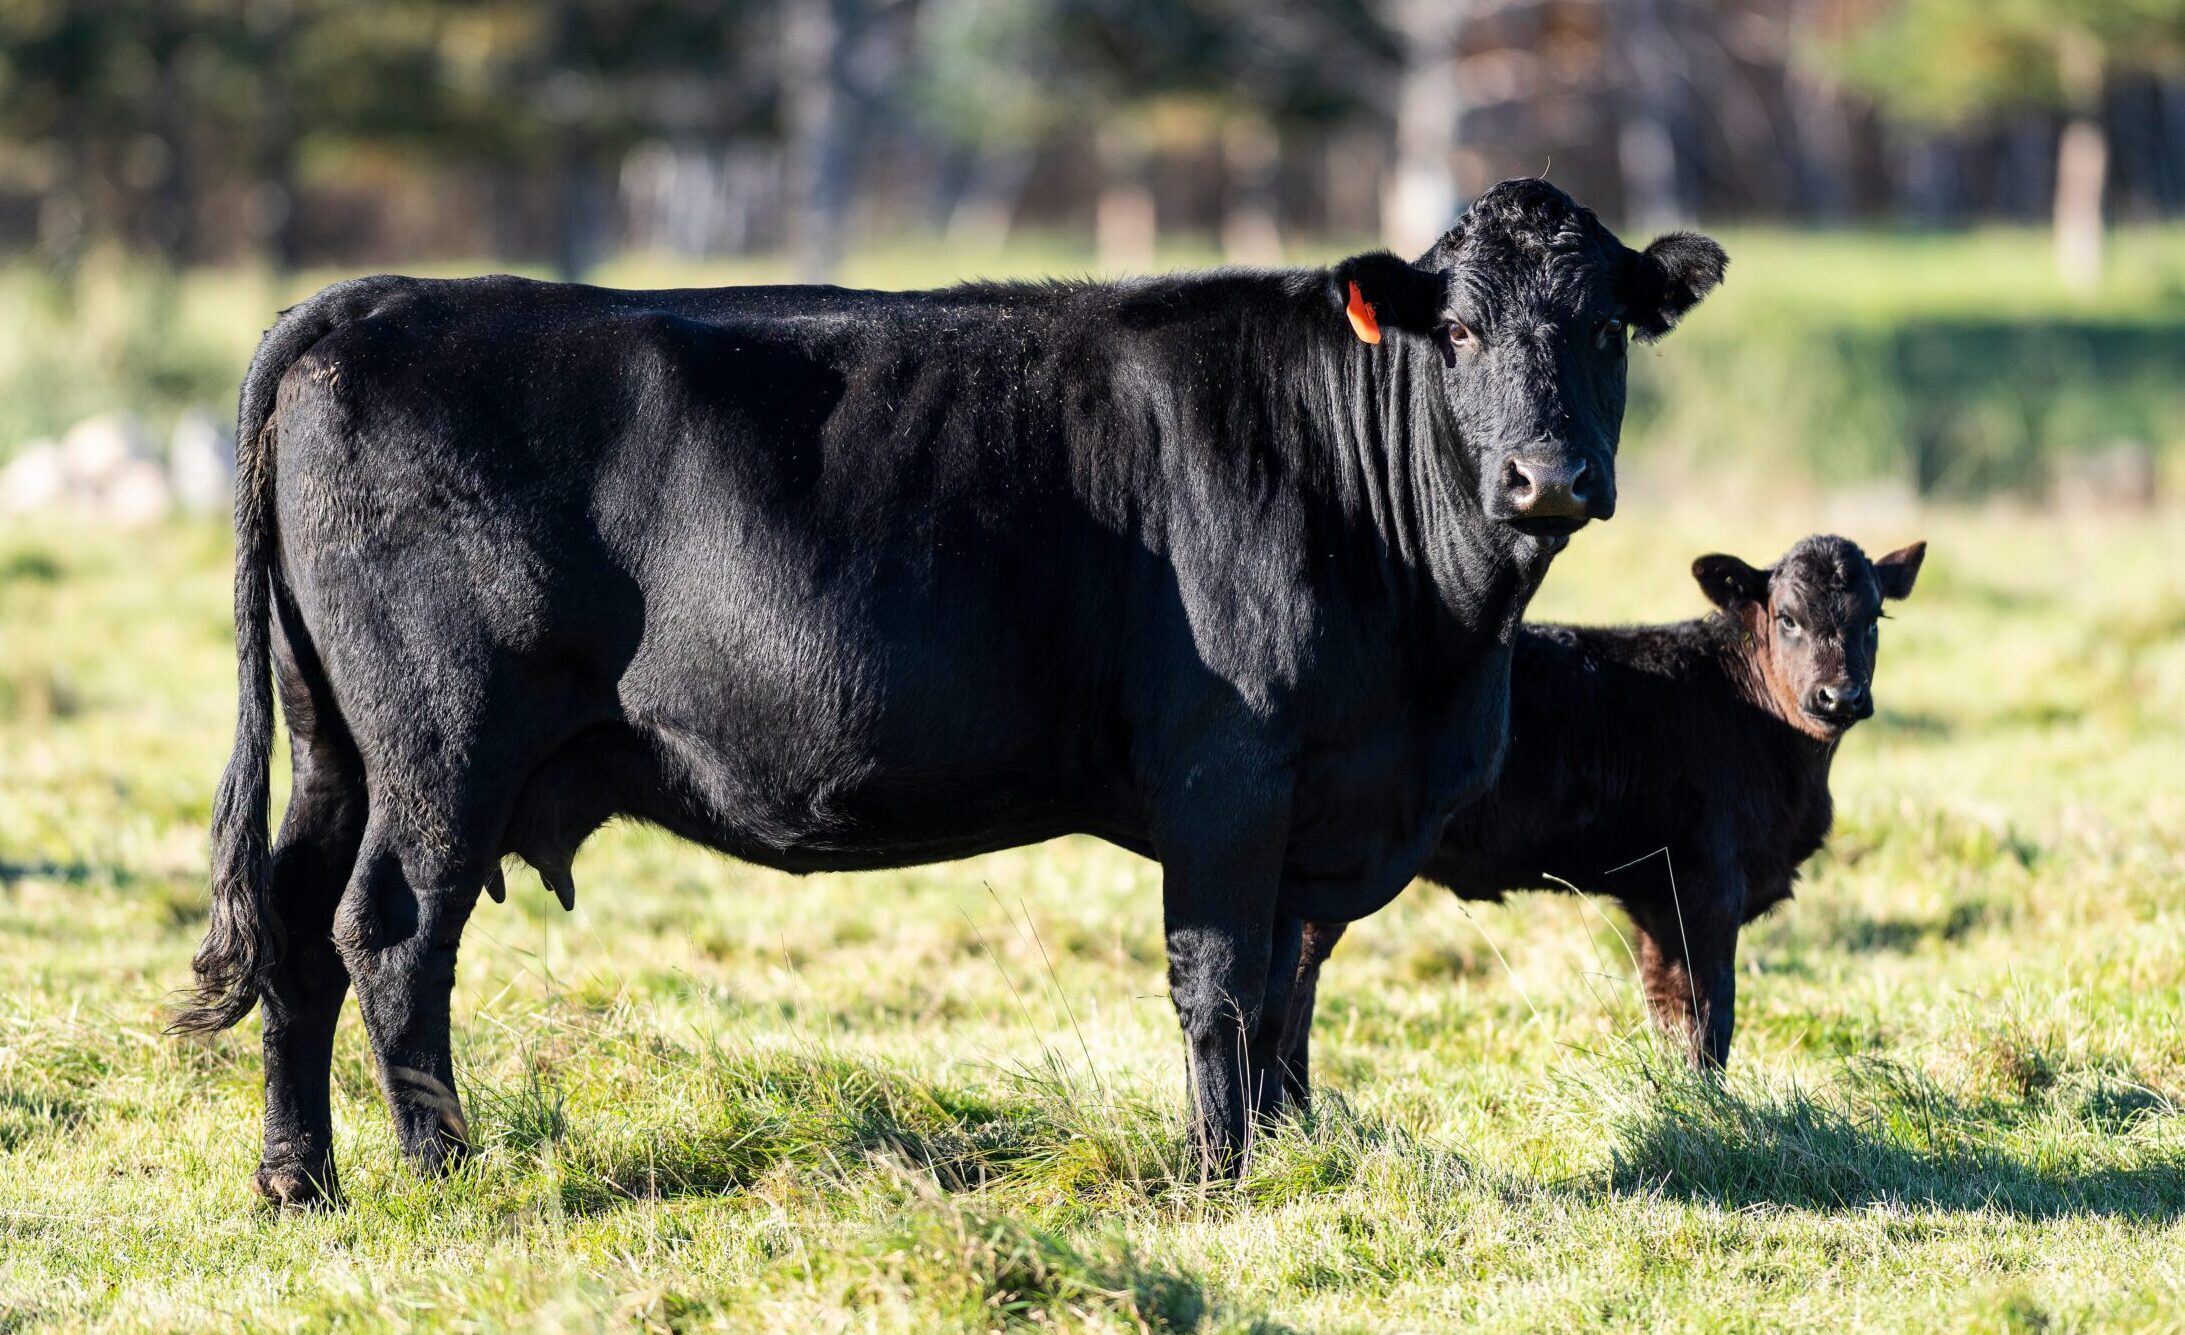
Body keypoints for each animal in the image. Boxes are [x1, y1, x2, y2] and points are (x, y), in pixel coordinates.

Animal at [171, 179, 1725, 1205]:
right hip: (443, 743)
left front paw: (1295, 1151)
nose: (1547, 476)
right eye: (1455, 332)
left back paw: (298, 1180)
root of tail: (376, 299)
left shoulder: (1327, 811)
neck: (1439, 656)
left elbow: (1294, 986)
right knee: (390, 932)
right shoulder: (1230, 776)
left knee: (299, 929)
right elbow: (1223, 980)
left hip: (336, 744)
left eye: (1606, 328)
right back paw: (445, 1170)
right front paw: (1220, 1176)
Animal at [1275, 534, 1926, 1100]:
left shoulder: (1657, 899)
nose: (1839, 697)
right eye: (1787, 617)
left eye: (1874, 619)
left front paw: (1686, 1102)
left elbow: (1668, 1008)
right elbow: (1709, 1013)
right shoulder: (1706, 885)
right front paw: (1715, 1110)